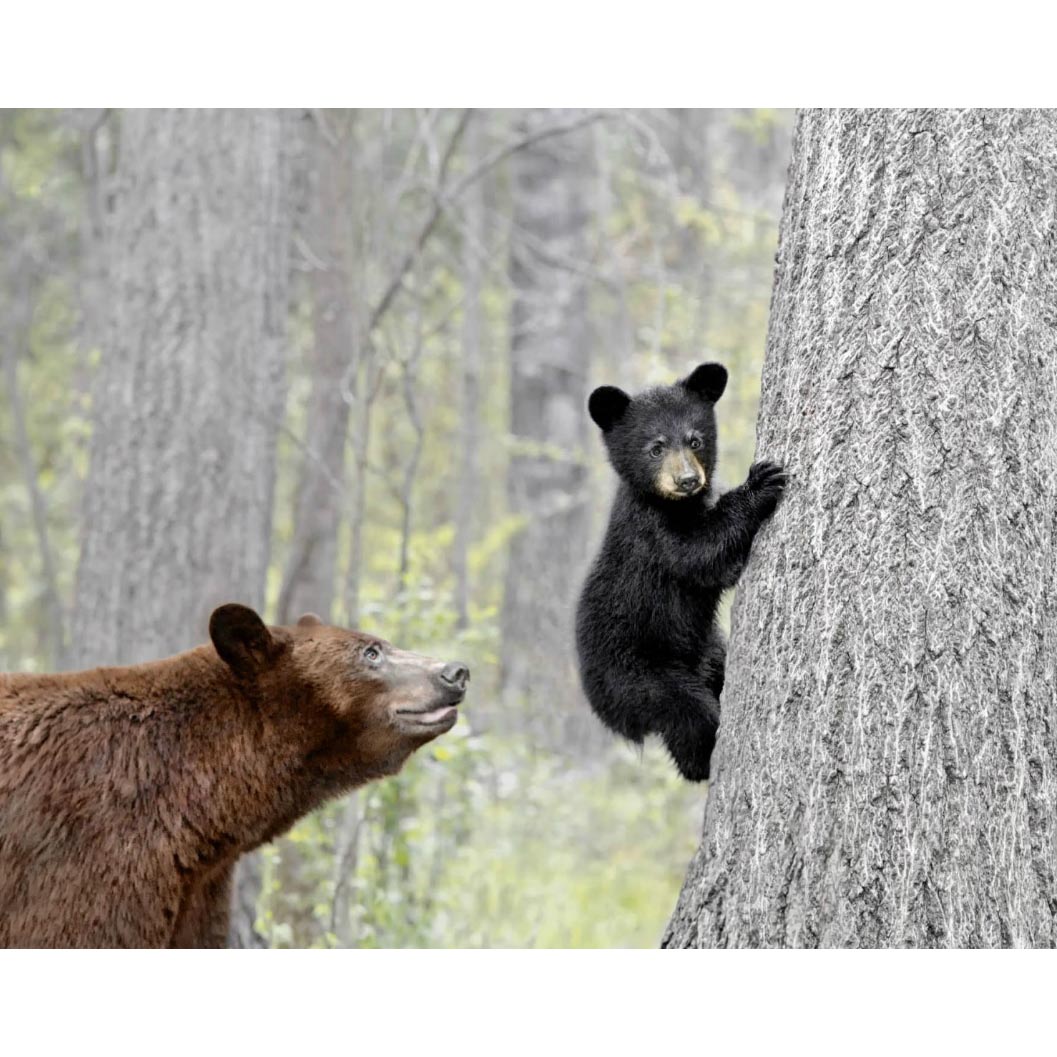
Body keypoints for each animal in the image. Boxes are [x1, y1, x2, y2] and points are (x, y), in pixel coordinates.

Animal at [575, 362, 786, 782]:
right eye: (655, 447)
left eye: (695, 440)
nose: (688, 480)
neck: (675, 504)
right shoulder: (652, 533)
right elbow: (699, 552)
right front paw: (760, 483)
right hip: (638, 677)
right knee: (688, 713)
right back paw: (704, 760)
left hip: (710, 649)